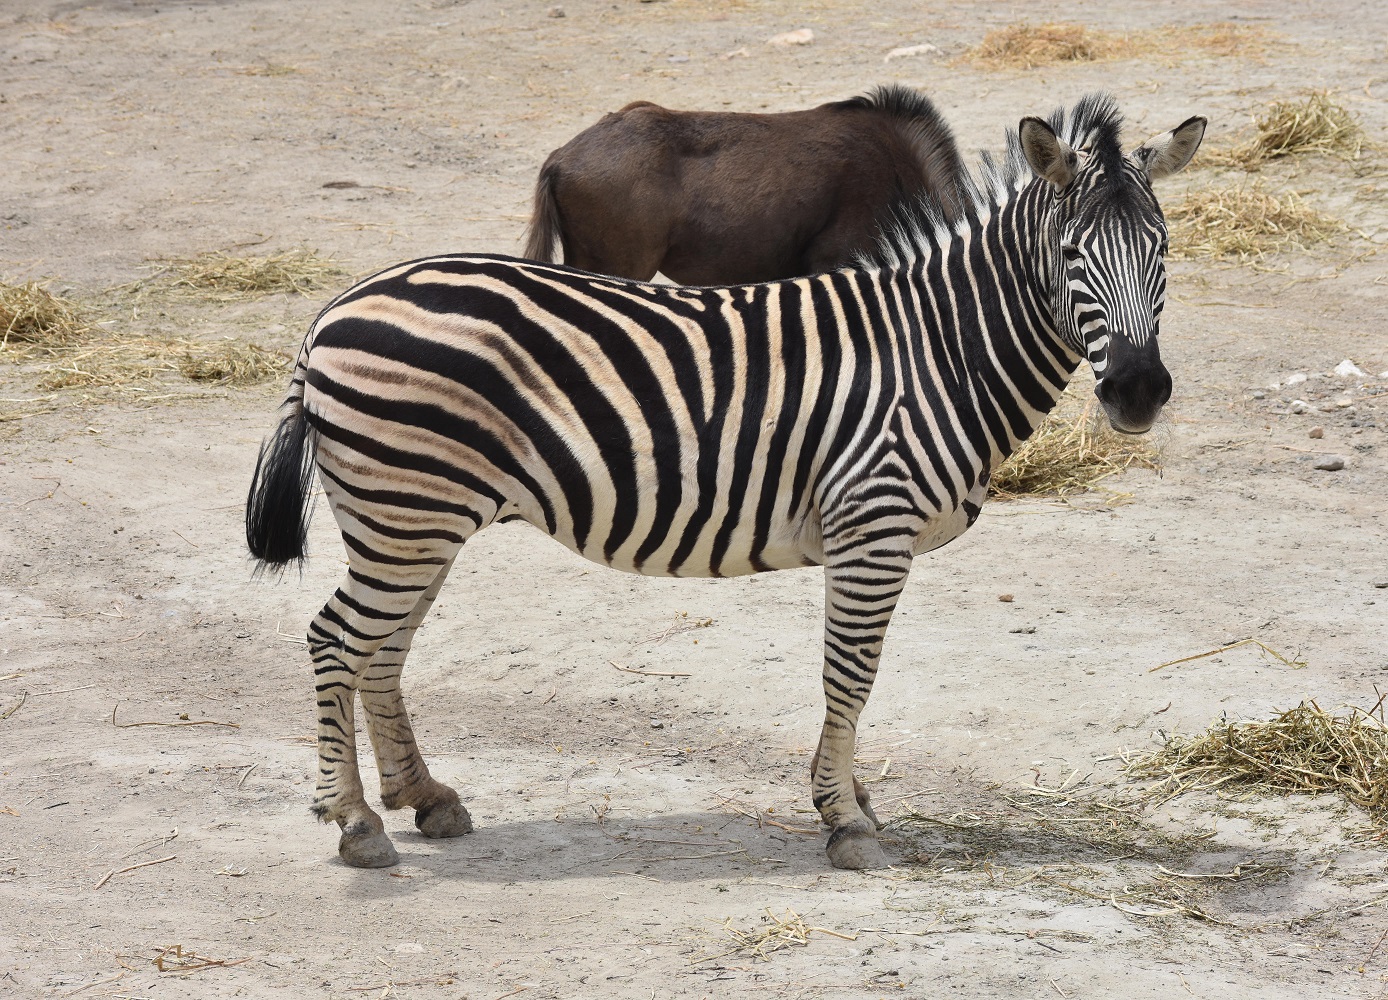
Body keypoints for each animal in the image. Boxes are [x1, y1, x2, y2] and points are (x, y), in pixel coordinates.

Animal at [246, 93, 1205, 871]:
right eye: (1073, 253)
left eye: (1163, 249)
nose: (1137, 389)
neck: (938, 350)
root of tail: (333, 310)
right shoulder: (872, 526)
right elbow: (850, 674)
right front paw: (845, 819)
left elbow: (851, 678)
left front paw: (854, 801)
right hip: (406, 511)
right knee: (335, 639)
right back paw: (355, 823)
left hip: (413, 517)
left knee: (382, 647)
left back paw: (423, 797)